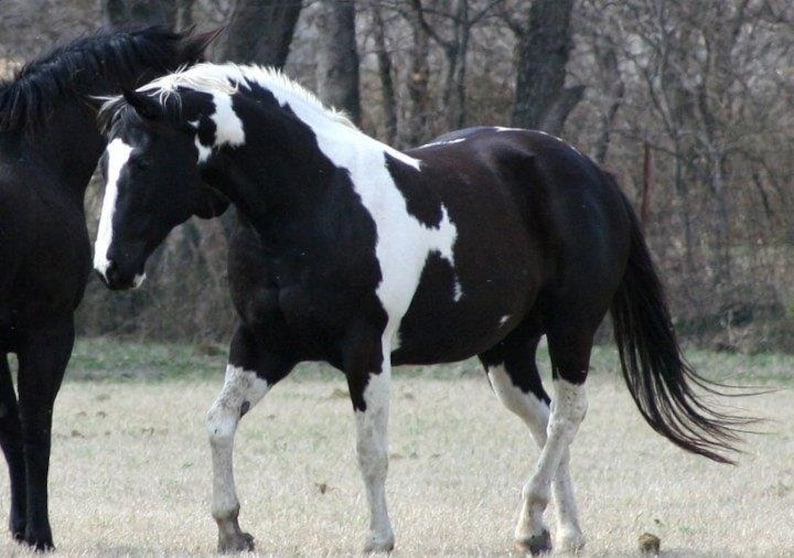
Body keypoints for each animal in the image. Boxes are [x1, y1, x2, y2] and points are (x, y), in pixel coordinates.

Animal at [0, 26, 218, 550]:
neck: (30, 155)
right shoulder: (48, 334)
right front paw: (39, 533)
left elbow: (12, 430)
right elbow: (35, 431)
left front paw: (21, 528)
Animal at [92, 62, 751, 555]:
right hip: (508, 351)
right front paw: (232, 529)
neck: (313, 201)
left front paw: (378, 539)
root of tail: (593, 174)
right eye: (108, 162)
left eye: (143, 163)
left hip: (572, 328)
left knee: (567, 417)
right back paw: (558, 533)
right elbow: (218, 422)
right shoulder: (260, 344)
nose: (112, 268)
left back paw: (529, 522)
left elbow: (370, 452)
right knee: (544, 423)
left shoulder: (365, 351)